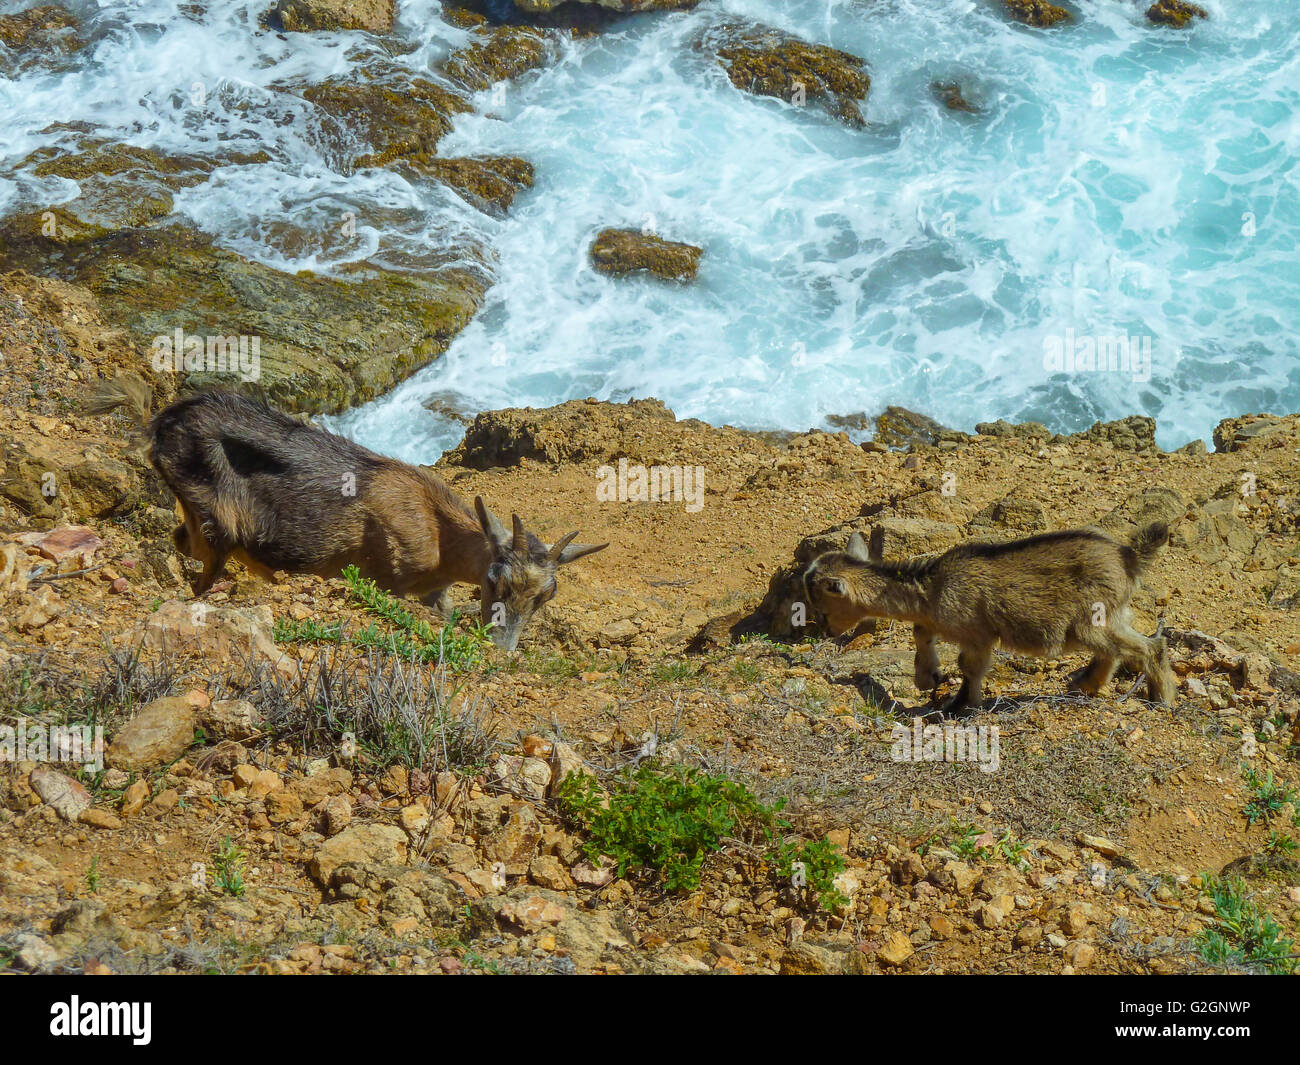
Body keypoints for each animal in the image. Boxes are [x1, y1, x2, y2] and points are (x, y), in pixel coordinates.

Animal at [804, 523, 1175, 714]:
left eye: (822, 607)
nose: (825, 630)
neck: (933, 587)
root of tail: (1128, 556)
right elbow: (921, 632)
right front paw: (928, 677)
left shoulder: (977, 634)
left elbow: (970, 667)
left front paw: (959, 704)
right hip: (1112, 614)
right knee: (1117, 650)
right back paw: (1085, 685)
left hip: (1091, 619)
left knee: (1150, 646)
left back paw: (1161, 699)